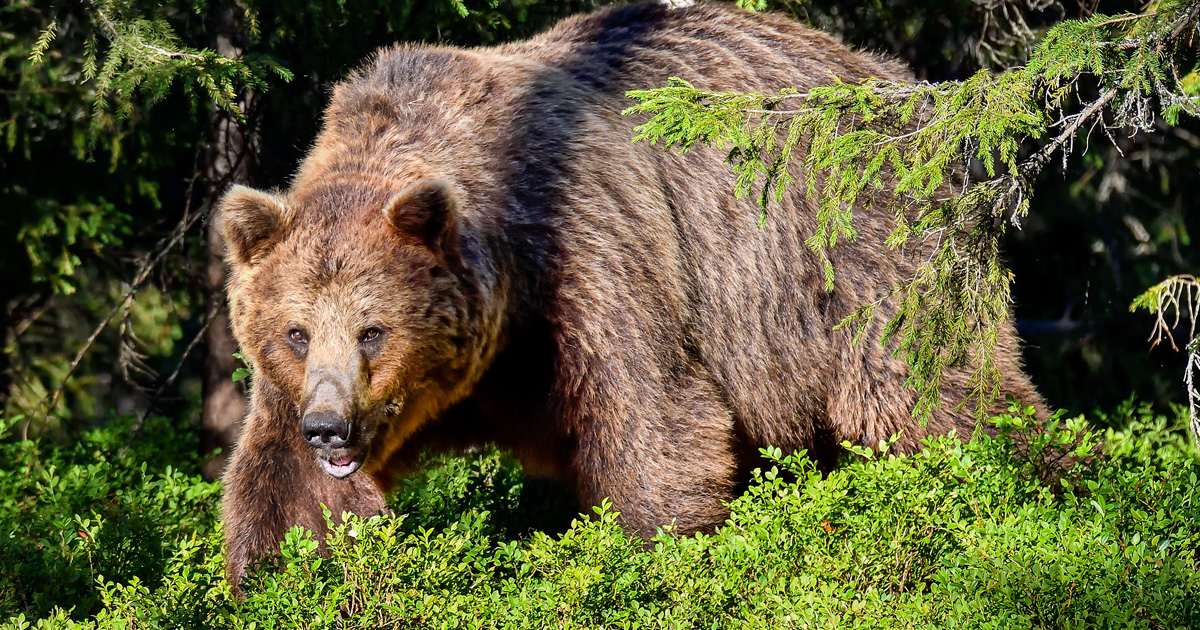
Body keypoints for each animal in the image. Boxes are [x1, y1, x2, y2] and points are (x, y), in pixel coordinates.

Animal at [216, 2, 1045, 585]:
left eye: (373, 330)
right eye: (295, 332)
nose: (330, 427)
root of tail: (896, 82)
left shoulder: (588, 254)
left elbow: (655, 424)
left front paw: (654, 560)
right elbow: (286, 493)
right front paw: (277, 576)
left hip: (853, 252)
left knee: (938, 394)